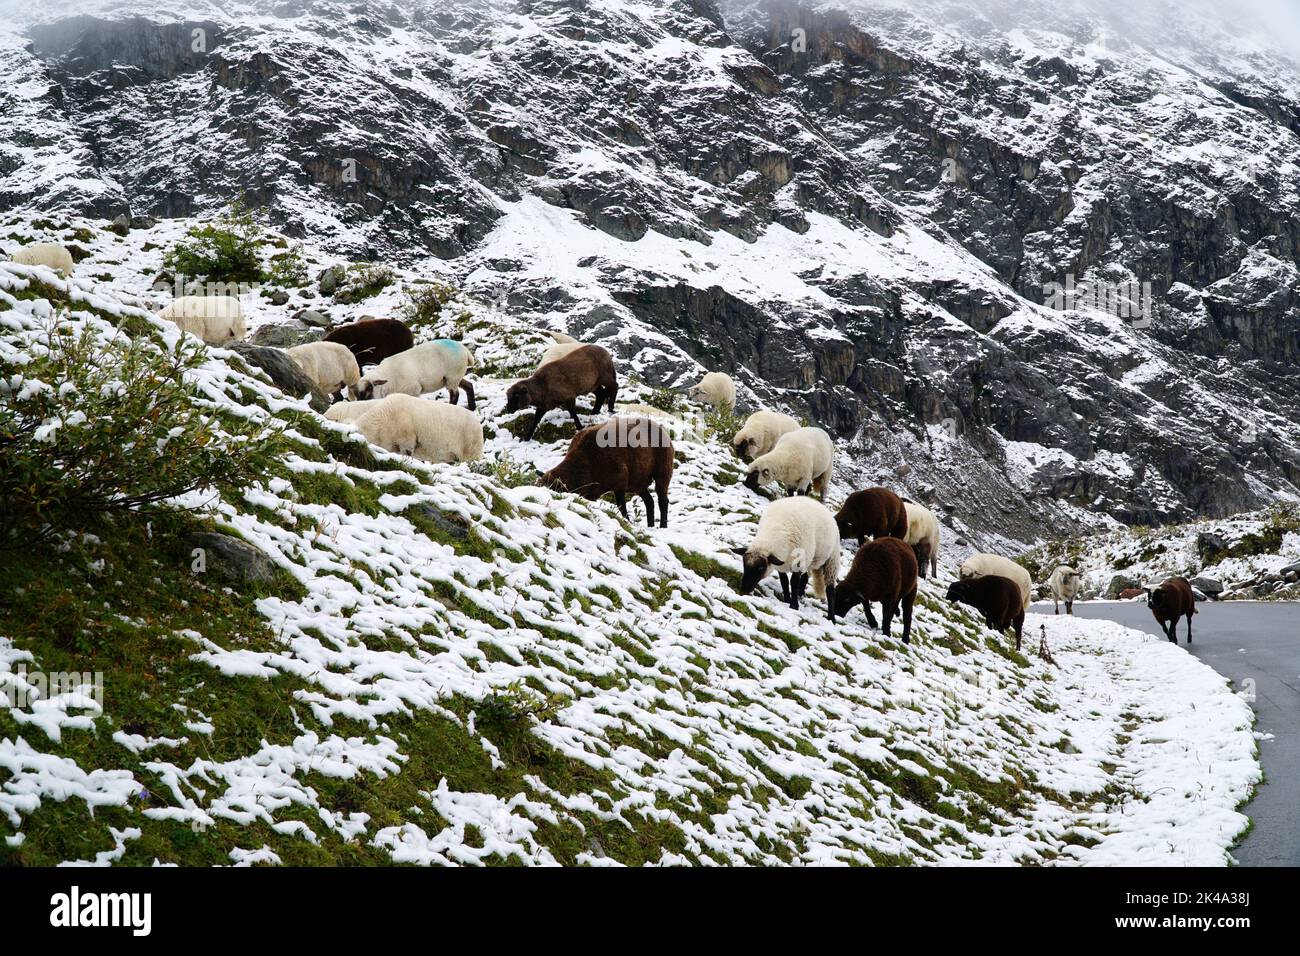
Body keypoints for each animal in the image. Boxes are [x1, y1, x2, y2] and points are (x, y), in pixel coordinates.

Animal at [539, 416, 674, 528]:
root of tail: (663, 430)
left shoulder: (620, 483)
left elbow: (622, 507)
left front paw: (627, 522)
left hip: (663, 471)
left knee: (663, 501)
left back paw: (663, 526)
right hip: (638, 481)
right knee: (649, 501)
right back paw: (650, 525)